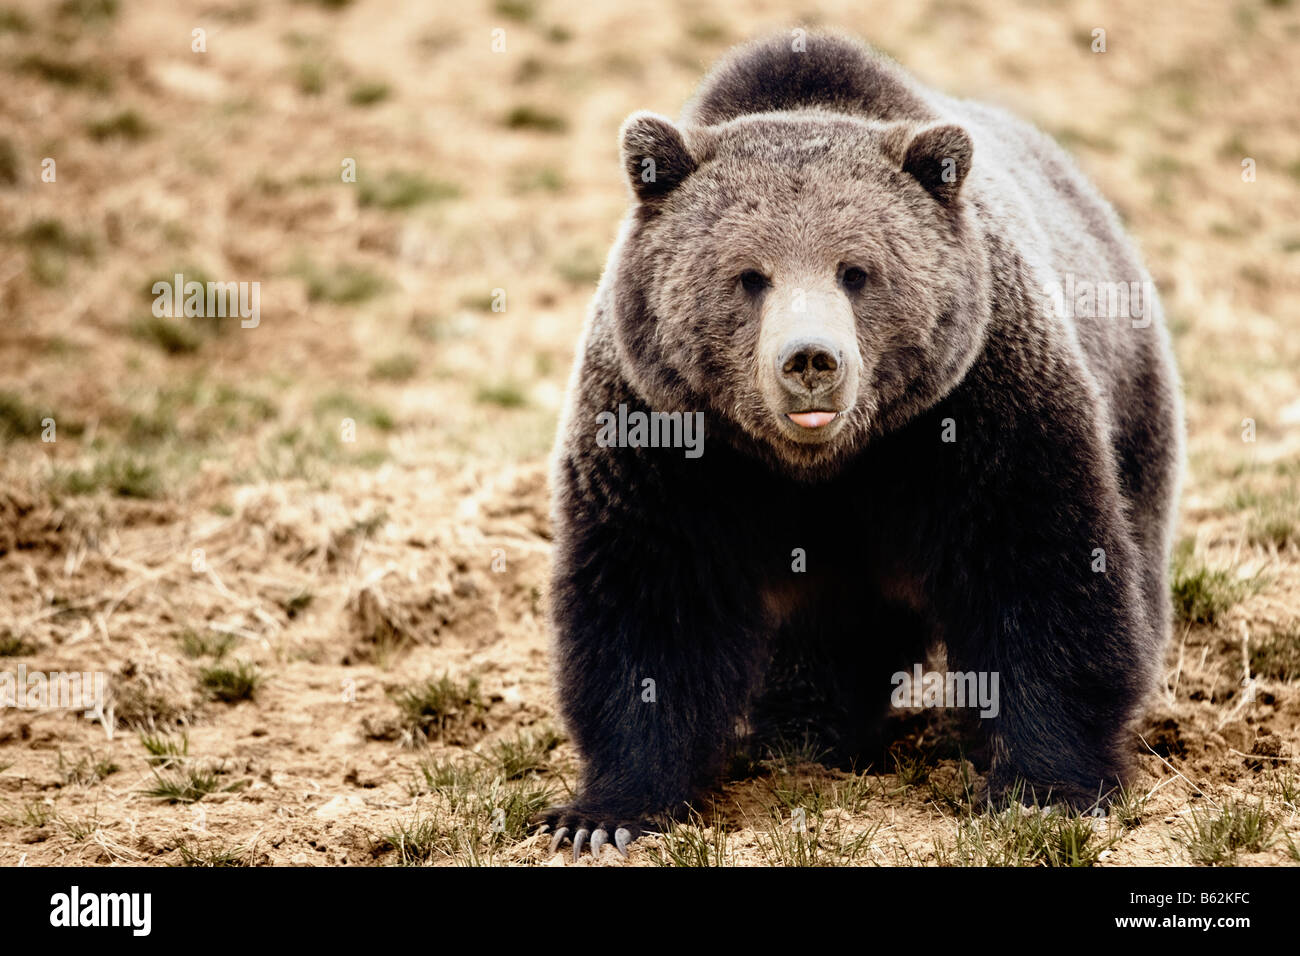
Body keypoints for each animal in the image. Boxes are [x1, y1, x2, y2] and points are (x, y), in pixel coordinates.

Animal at [539, 30, 1183, 859]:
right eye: (749, 276)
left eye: (856, 271)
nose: (811, 359)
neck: (823, 465)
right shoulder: (667, 443)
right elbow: (648, 604)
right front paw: (603, 815)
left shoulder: (978, 415)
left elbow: (1041, 576)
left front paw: (1045, 789)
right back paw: (803, 733)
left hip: (1129, 399)